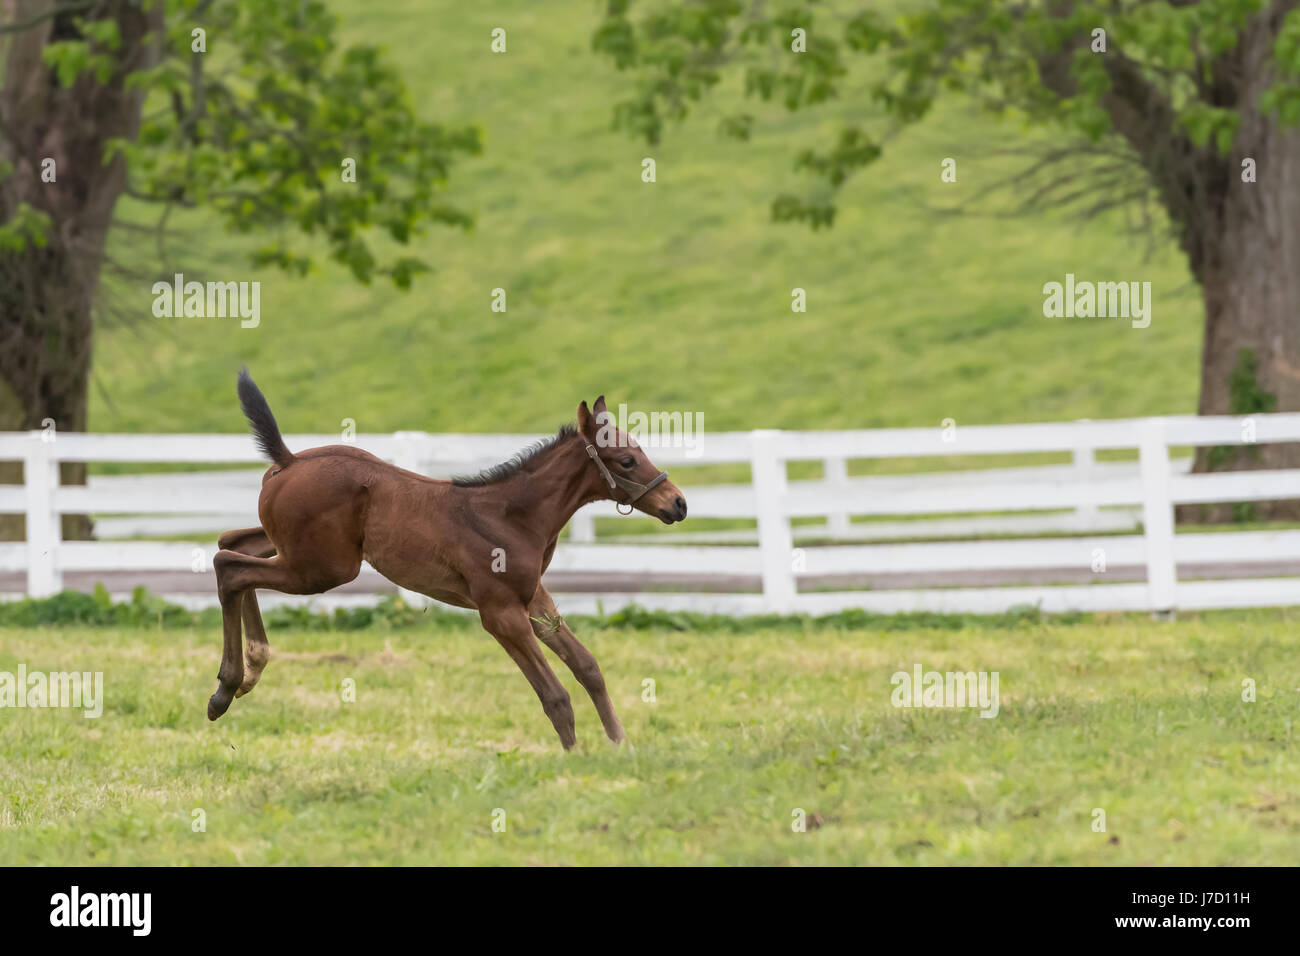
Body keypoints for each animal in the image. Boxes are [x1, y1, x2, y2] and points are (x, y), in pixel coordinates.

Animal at [209, 369, 688, 750]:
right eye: (626, 459)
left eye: (640, 450)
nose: (678, 503)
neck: (510, 515)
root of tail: (288, 460)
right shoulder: (499, 613)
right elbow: (554, 694)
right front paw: (575, 759)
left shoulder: (535, 599)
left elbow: (589, 668)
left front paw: (621, 746)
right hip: (322, 568)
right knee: (231, 567)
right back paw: (226, 689)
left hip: (296, 550)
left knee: (230, 544)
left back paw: (249, 672)